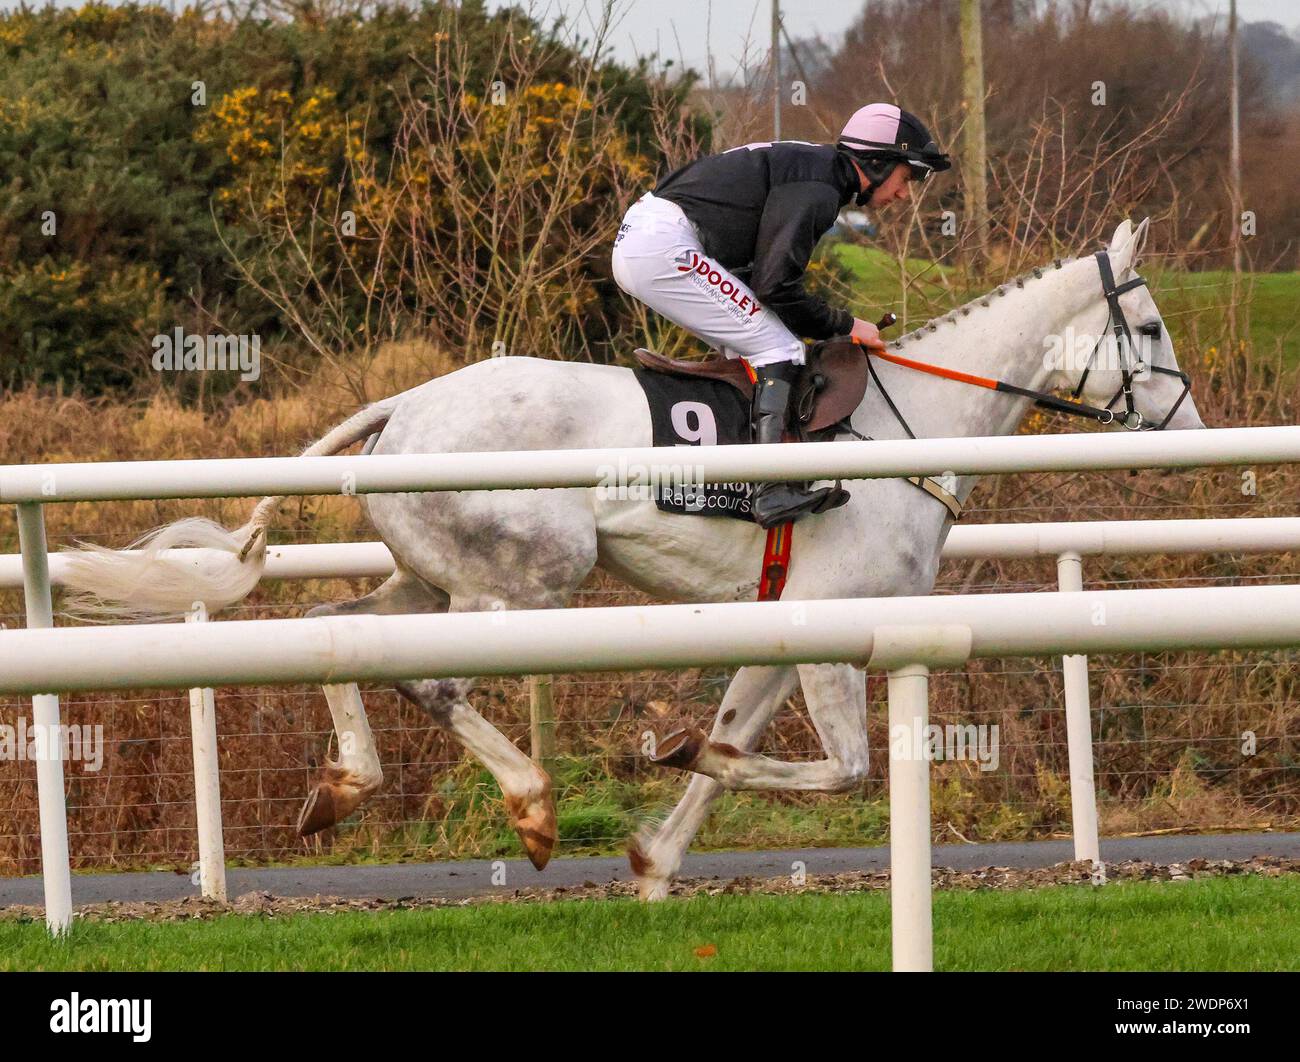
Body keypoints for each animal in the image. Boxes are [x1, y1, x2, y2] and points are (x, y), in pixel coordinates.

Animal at [58, 215, 1196, 894]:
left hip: (427, 573)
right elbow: (845, 768)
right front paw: (671, 750)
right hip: (528, 582)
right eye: (1144, 323)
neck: (903, 422)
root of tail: (403, 406)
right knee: (433, 678)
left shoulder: (783, 625)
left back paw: (345, 784)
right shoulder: (839, 626)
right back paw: (530, 805)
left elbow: (742, 747)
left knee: (329, 629)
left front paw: (655, 852)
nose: (1187, 425)